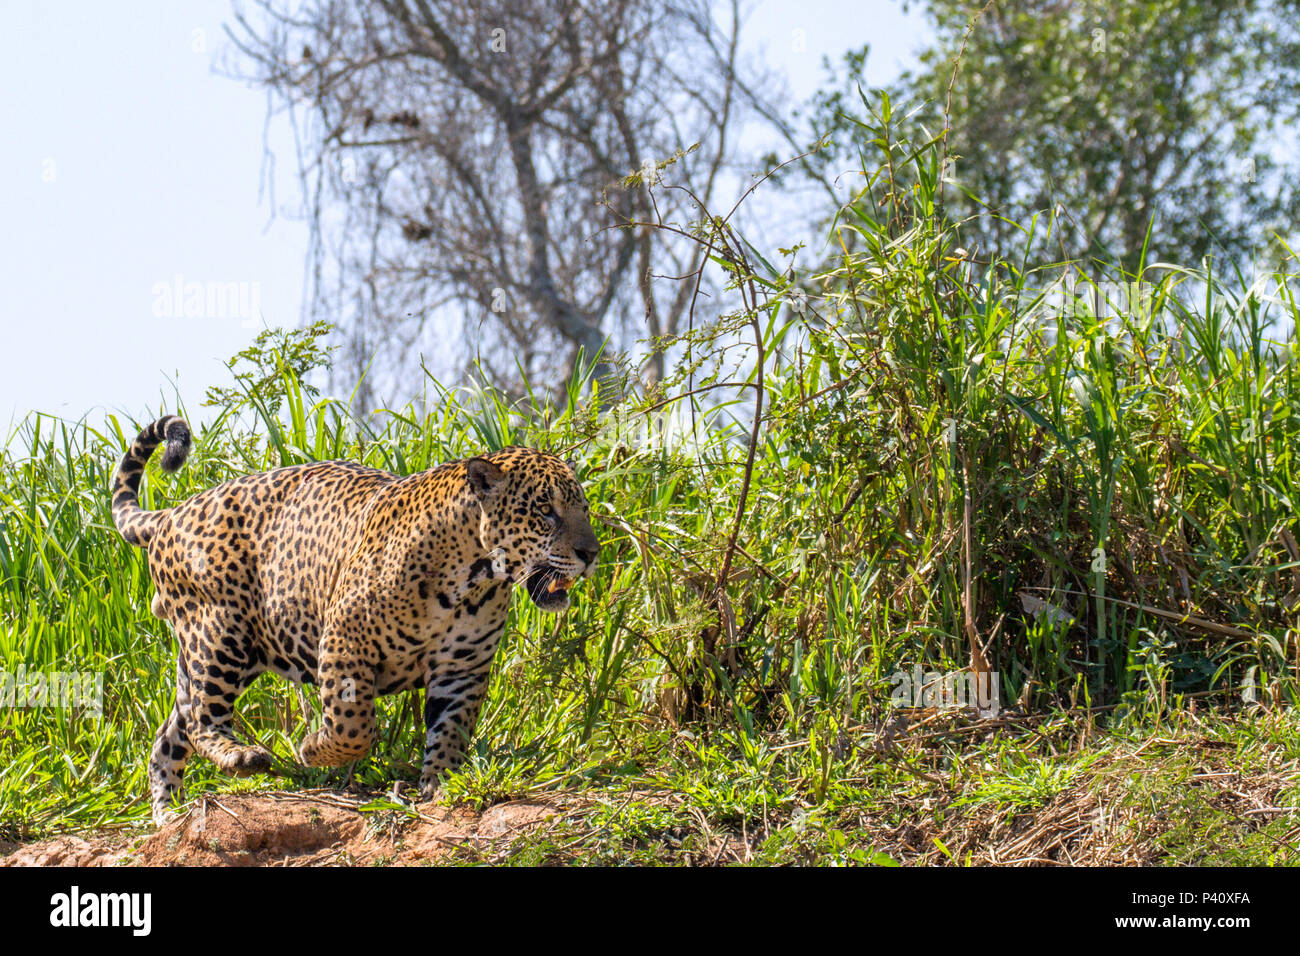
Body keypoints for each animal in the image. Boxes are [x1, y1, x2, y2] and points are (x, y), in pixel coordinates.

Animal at [110, 415, 600, 826]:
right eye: (545, 511)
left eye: (584, 509)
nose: (591, 553)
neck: (474, 577)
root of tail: (173, 512)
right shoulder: (345, 643)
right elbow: (354, 725)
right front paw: (313, 750)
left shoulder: (463, 667)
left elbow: (451, 731)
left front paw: (441, 787)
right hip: (219, 635)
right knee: (201, 721)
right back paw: (242, 758)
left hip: (216, 654)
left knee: (170, 734)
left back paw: (169, 814)